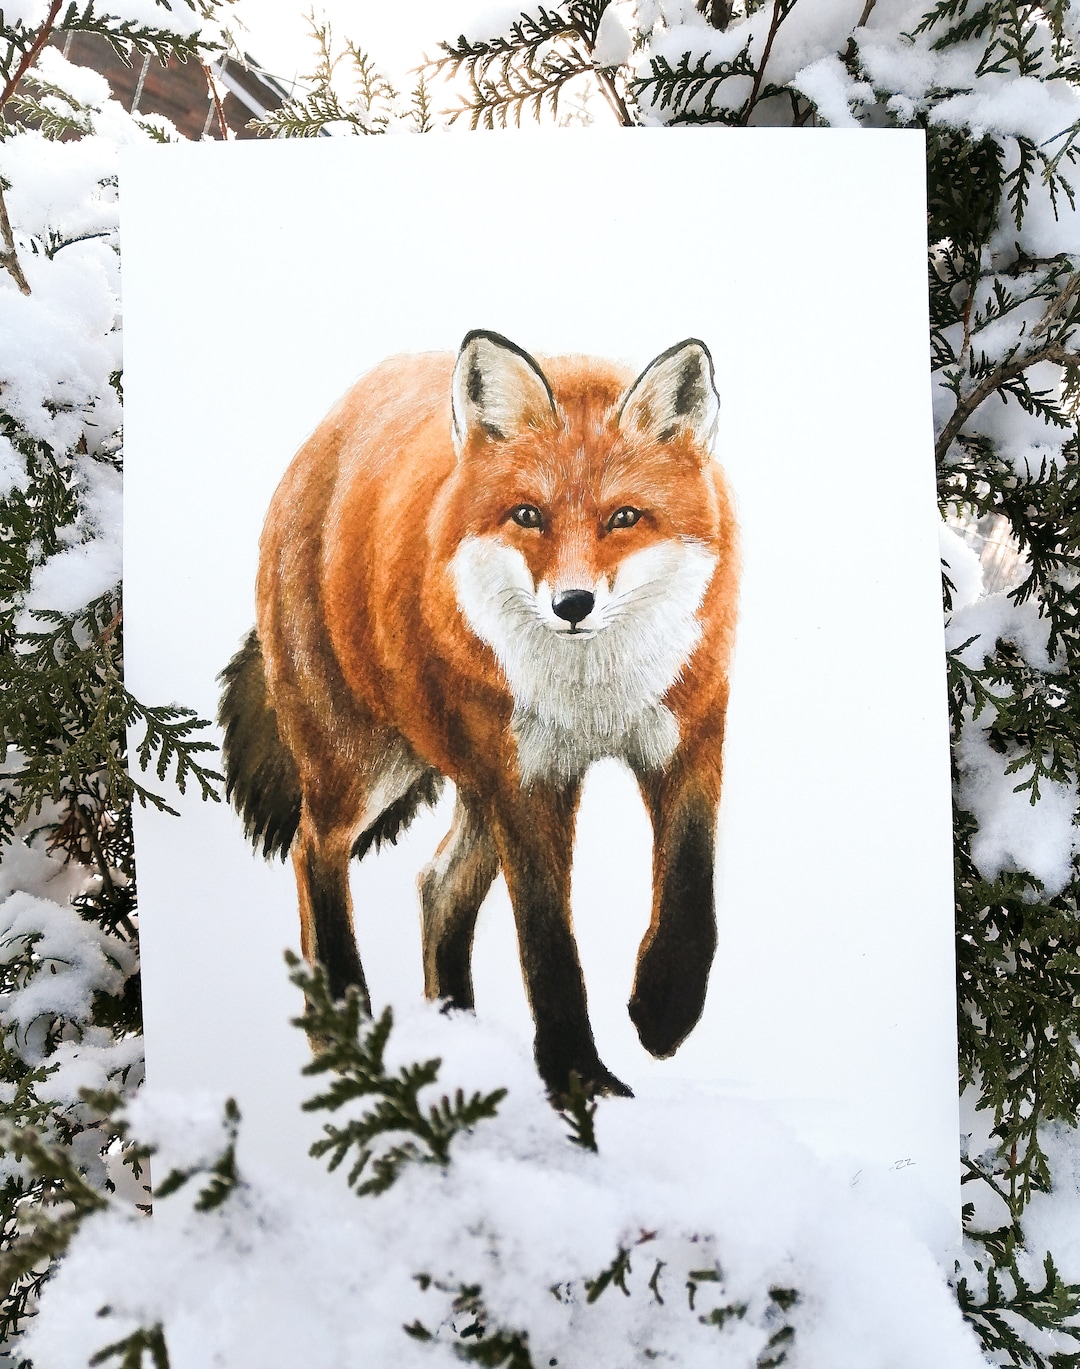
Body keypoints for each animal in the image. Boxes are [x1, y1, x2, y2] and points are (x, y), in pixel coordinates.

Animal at [219, 330, 738, 1099]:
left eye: (623, 517)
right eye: (528, 515)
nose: (573, 604)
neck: (595, 699)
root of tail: (327, 431)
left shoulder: (688, 738)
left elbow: (690, 892)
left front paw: (664, 1008)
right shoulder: (530, 779)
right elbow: (548, 943)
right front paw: (578, 1078)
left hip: (470, 781)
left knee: (437, 886)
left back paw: (459, 1038)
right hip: (365, 763)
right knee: (314, 850)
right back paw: (343, 1017)